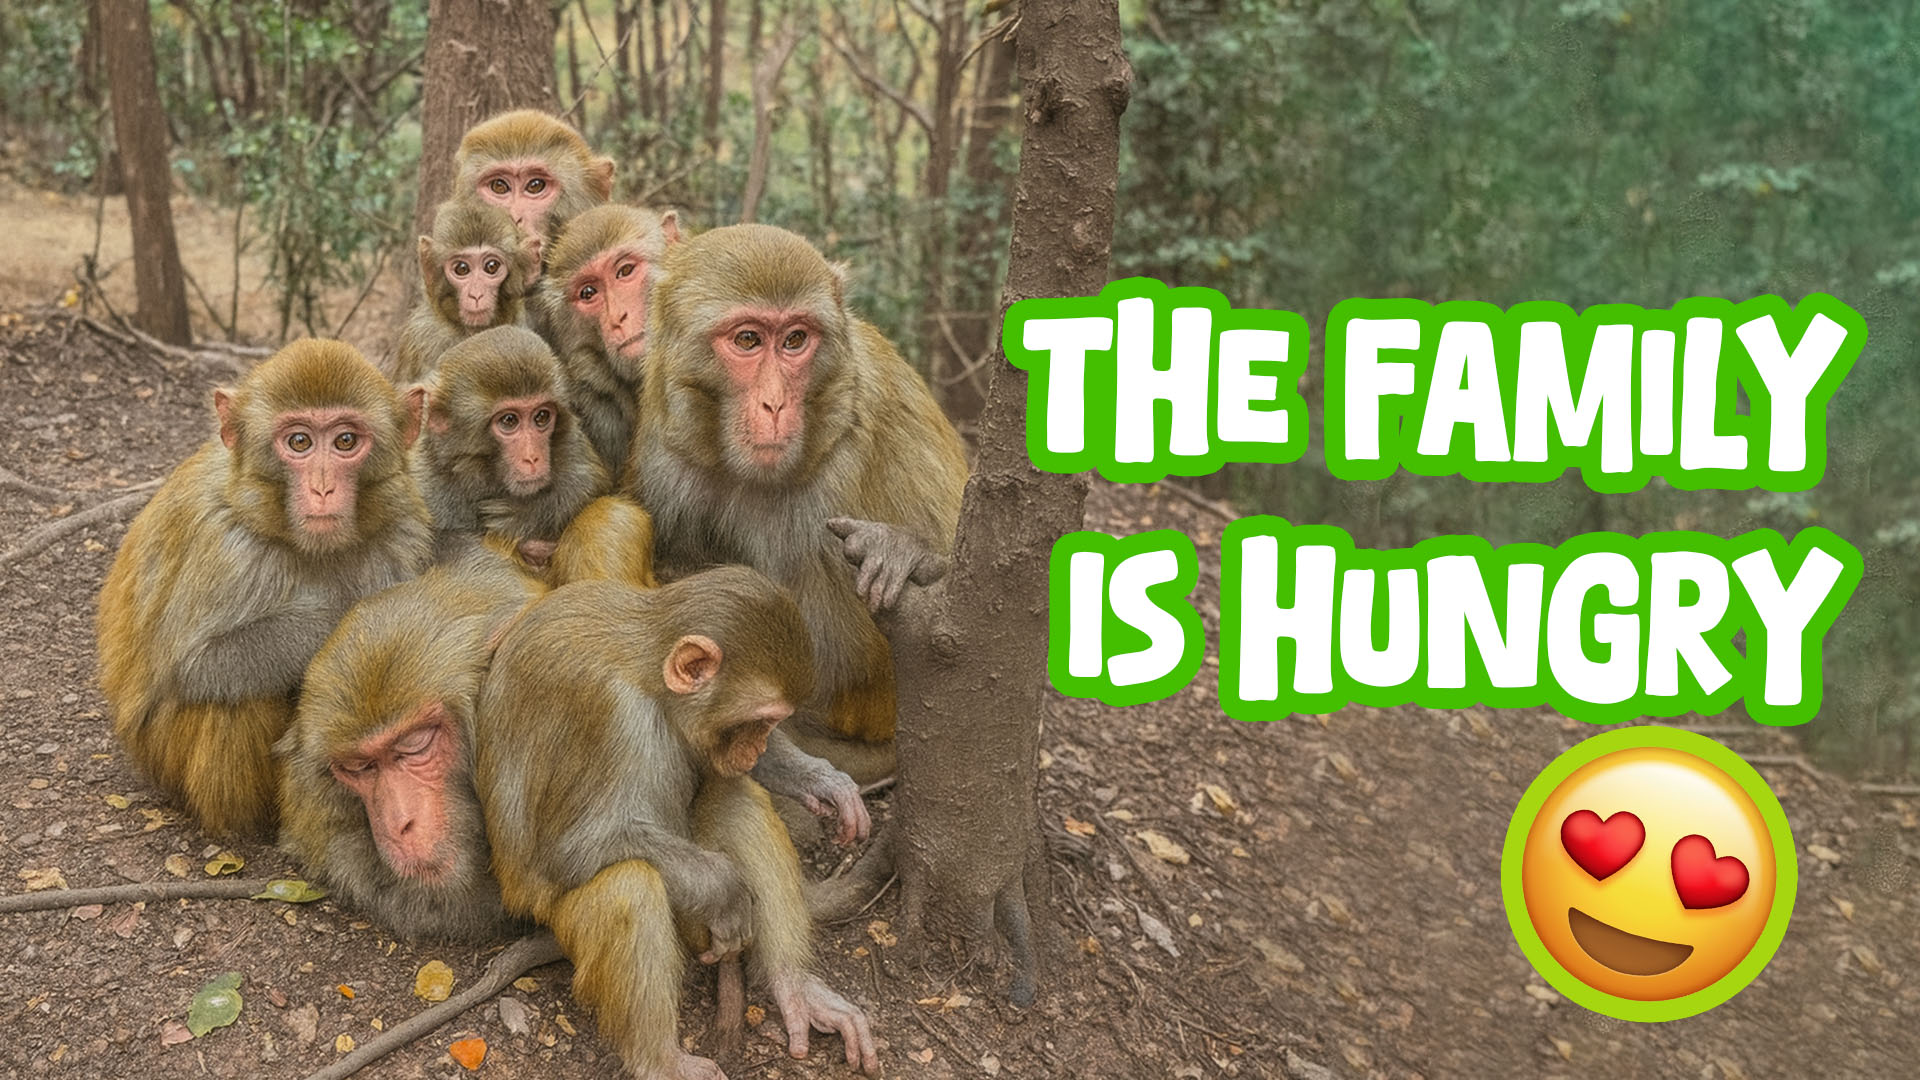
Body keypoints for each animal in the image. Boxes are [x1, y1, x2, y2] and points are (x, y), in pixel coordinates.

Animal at [97, 341, 434, 838]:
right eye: (299, 442)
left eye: (345, 441)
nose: (322, 487)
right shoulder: (227, 547)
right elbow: (191, 665)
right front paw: (341, 610)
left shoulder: (402, 530)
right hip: (163, 759)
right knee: (234, 695)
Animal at [411, 324, 658, 588]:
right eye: (509, 420)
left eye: (541, 417)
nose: (532, 458)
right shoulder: (428, 490)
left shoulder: (571, 441)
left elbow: (586, 478)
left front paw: (524, 516)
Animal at [475, 568, 881, 1079]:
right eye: (756, 721)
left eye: (770, 725)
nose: (754, 747)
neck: (647, 670)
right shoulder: (616, 715)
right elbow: (572, 847)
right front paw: (726, 889)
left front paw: (823, 781)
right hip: (567, 916)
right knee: (630, 885)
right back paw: (660, 1060)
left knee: (735, 799)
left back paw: (794, 986)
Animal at [631, 224, 969, 790]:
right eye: (748, 340)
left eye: (795, 340)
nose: (775, 404)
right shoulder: (667, 459)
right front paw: (793, 768)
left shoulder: (872, 411)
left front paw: (906, 551)